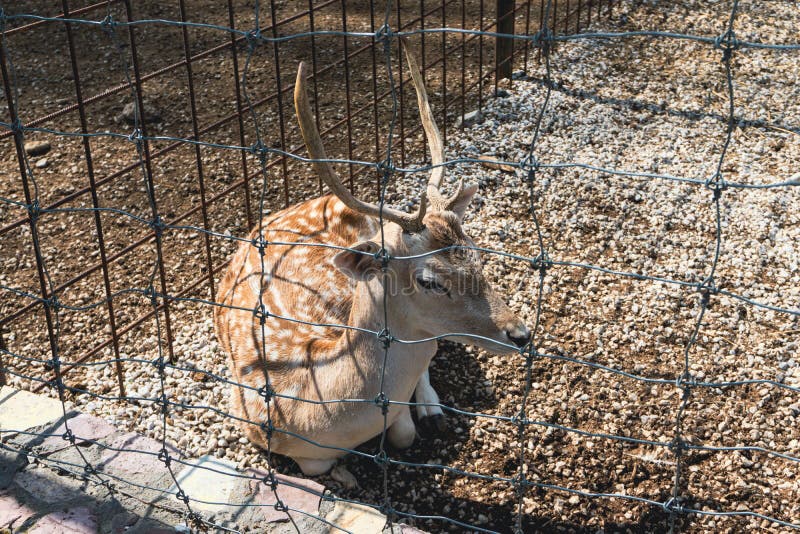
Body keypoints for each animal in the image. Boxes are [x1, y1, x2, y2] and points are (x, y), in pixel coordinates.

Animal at [213, 44, 530, 487]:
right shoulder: (250, 415)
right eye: (429, 280)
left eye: (477, 253)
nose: (521, 334)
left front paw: (417, 416)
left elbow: (403, 431)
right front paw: (346, 475)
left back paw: (431, 408)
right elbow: (319, 465)